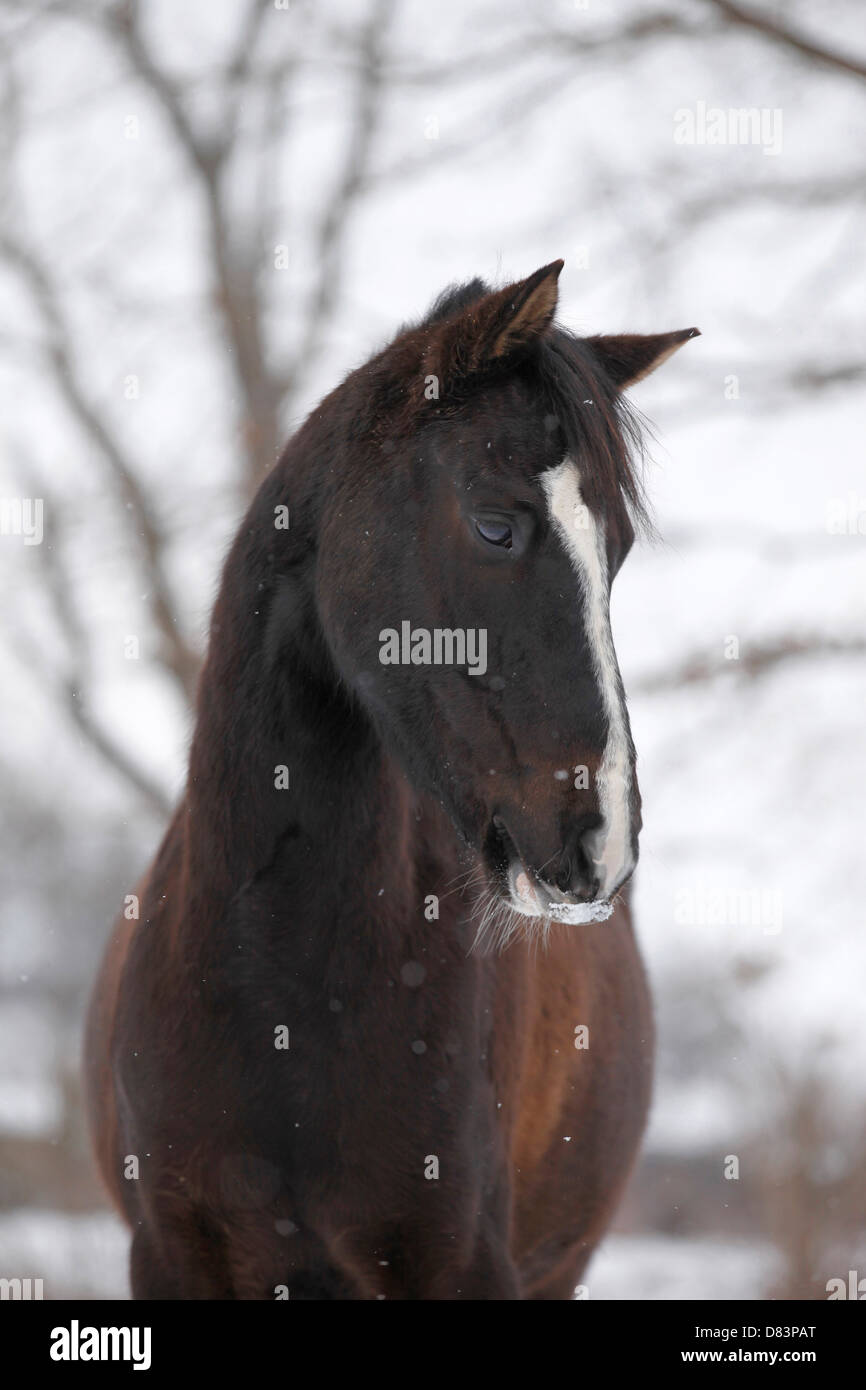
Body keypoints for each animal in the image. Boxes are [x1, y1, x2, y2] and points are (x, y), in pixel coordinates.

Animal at [84, 259, 698, 1299]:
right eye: (495, 527)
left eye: (615, 550)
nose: (602, 844)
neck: (280, 993)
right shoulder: (172, 1261)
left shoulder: (461, 1265)